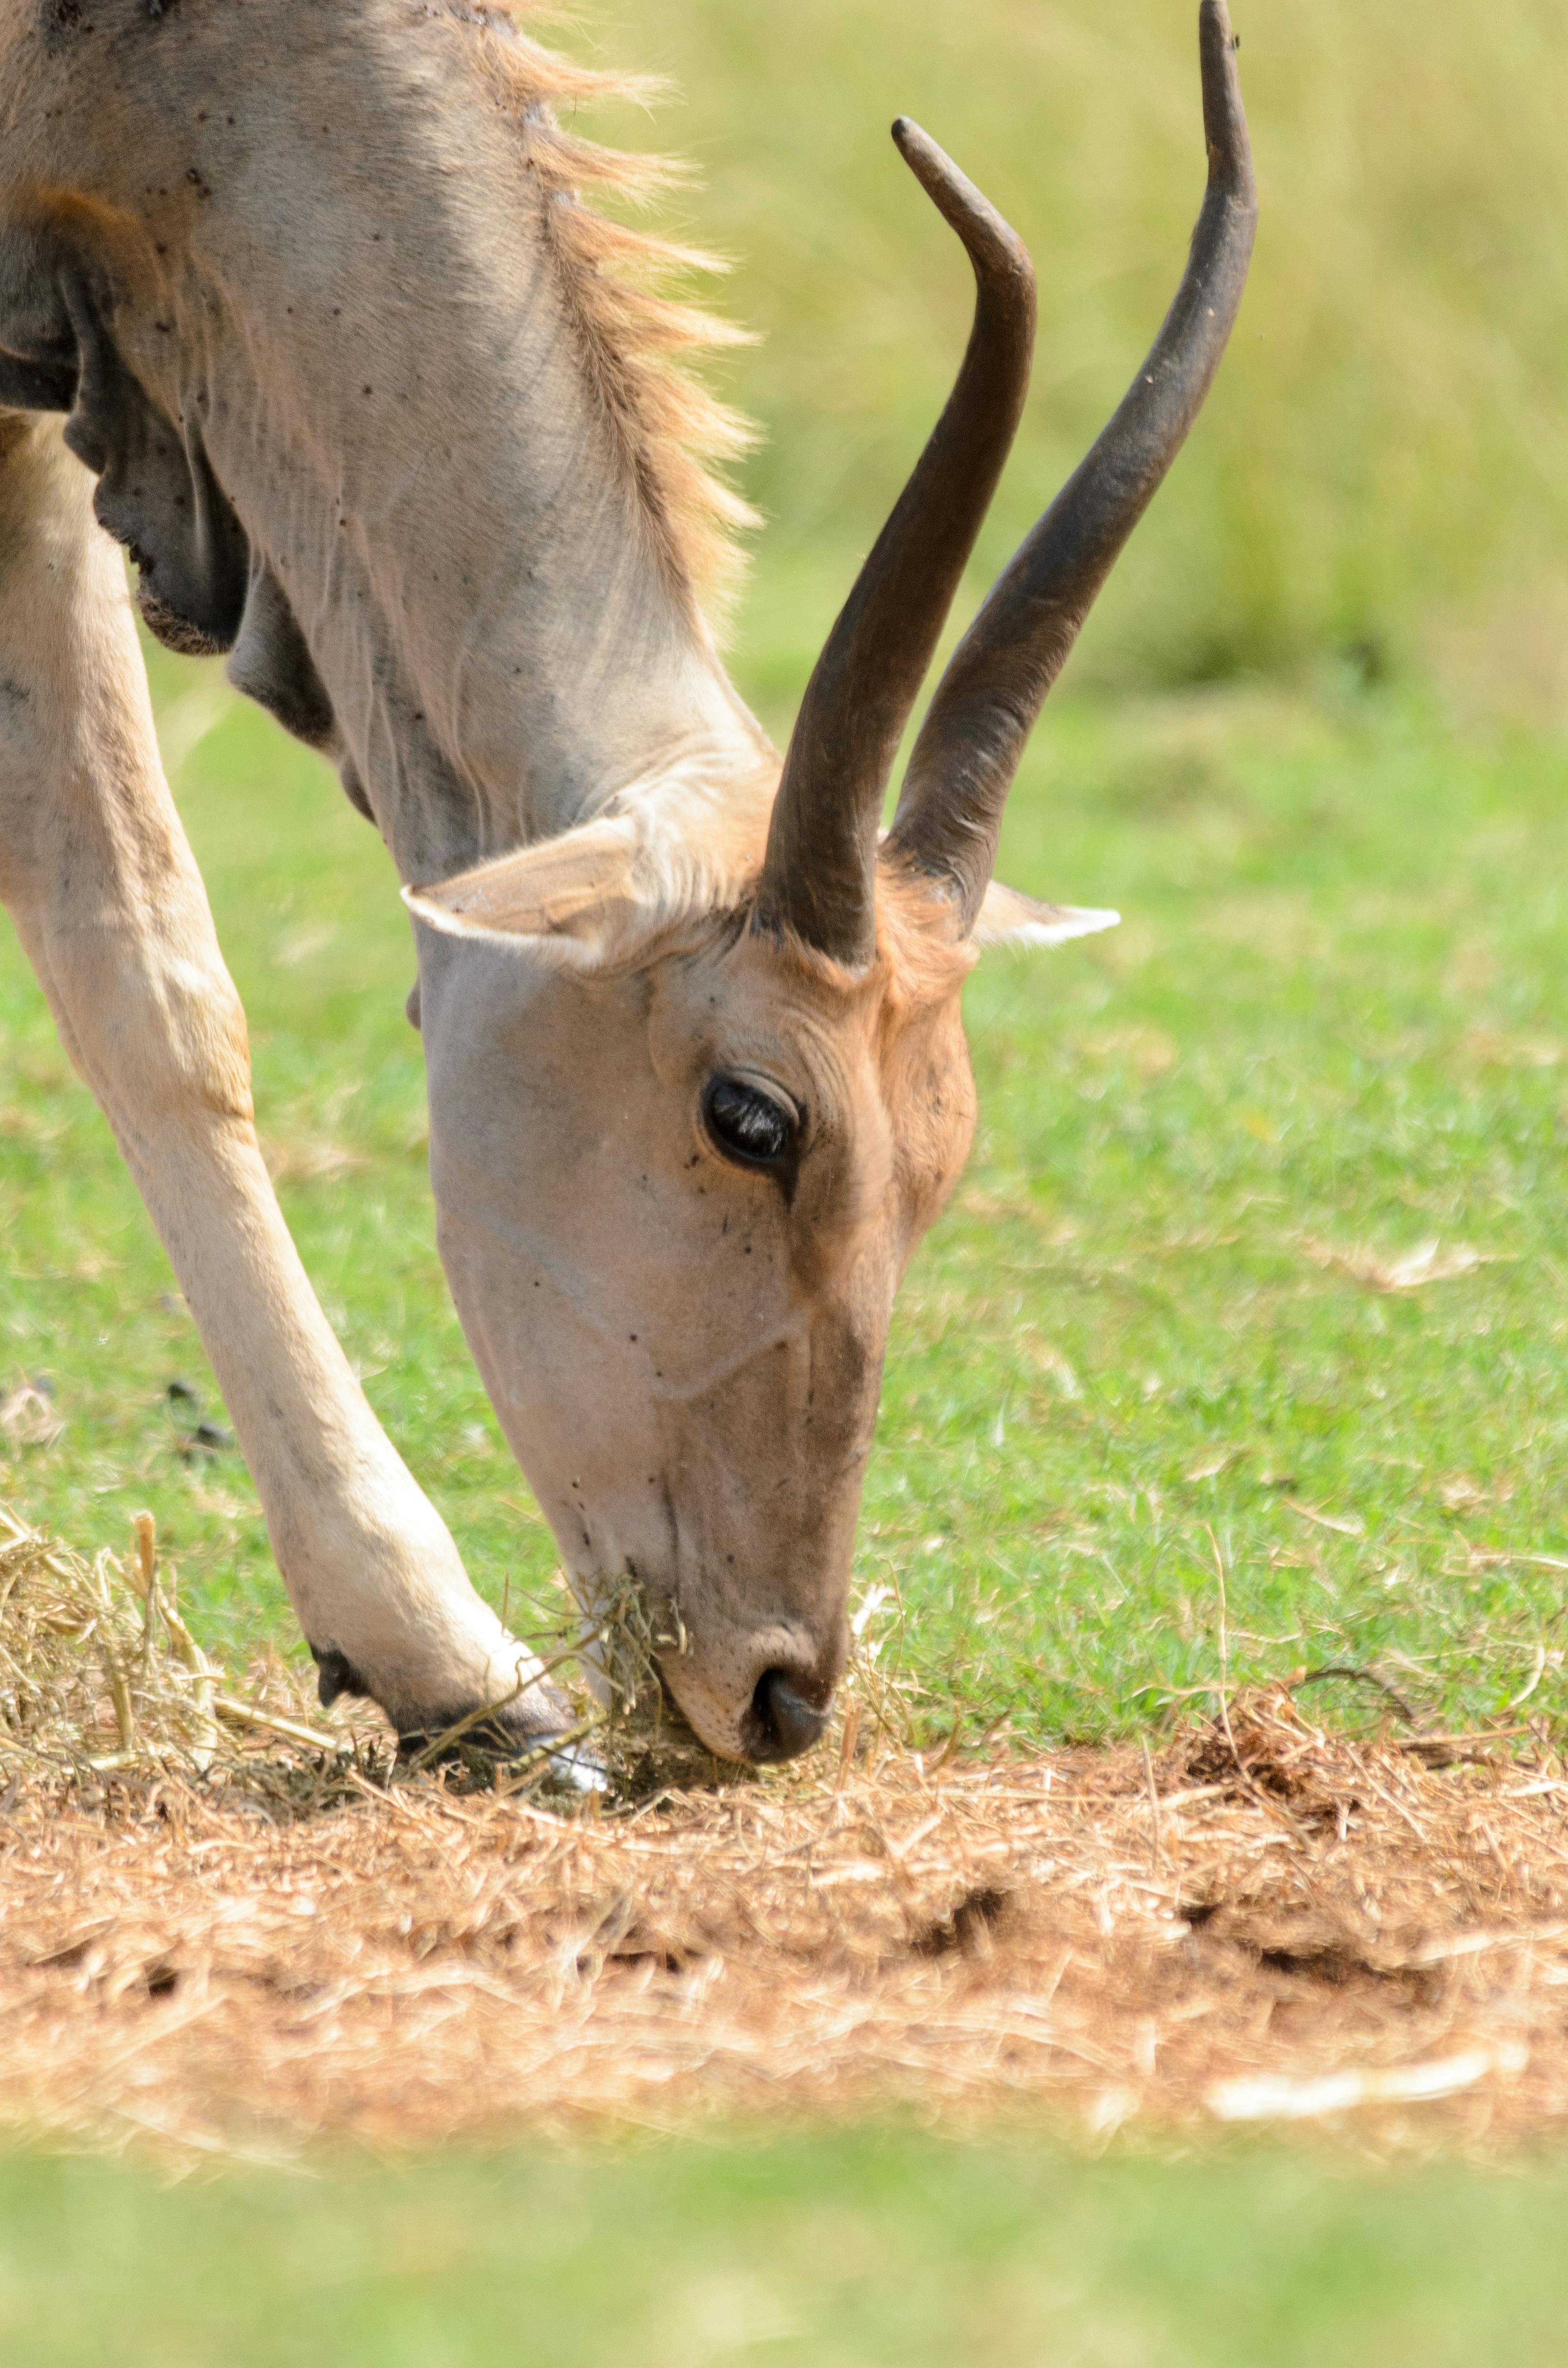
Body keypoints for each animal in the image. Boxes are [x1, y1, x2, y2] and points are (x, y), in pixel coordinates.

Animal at [0, 0, 1254, 1763]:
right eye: (753, 1117)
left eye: (945, 1155)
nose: (780, 1689)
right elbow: (154, 968)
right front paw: (441, 1657)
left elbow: (143, 959)